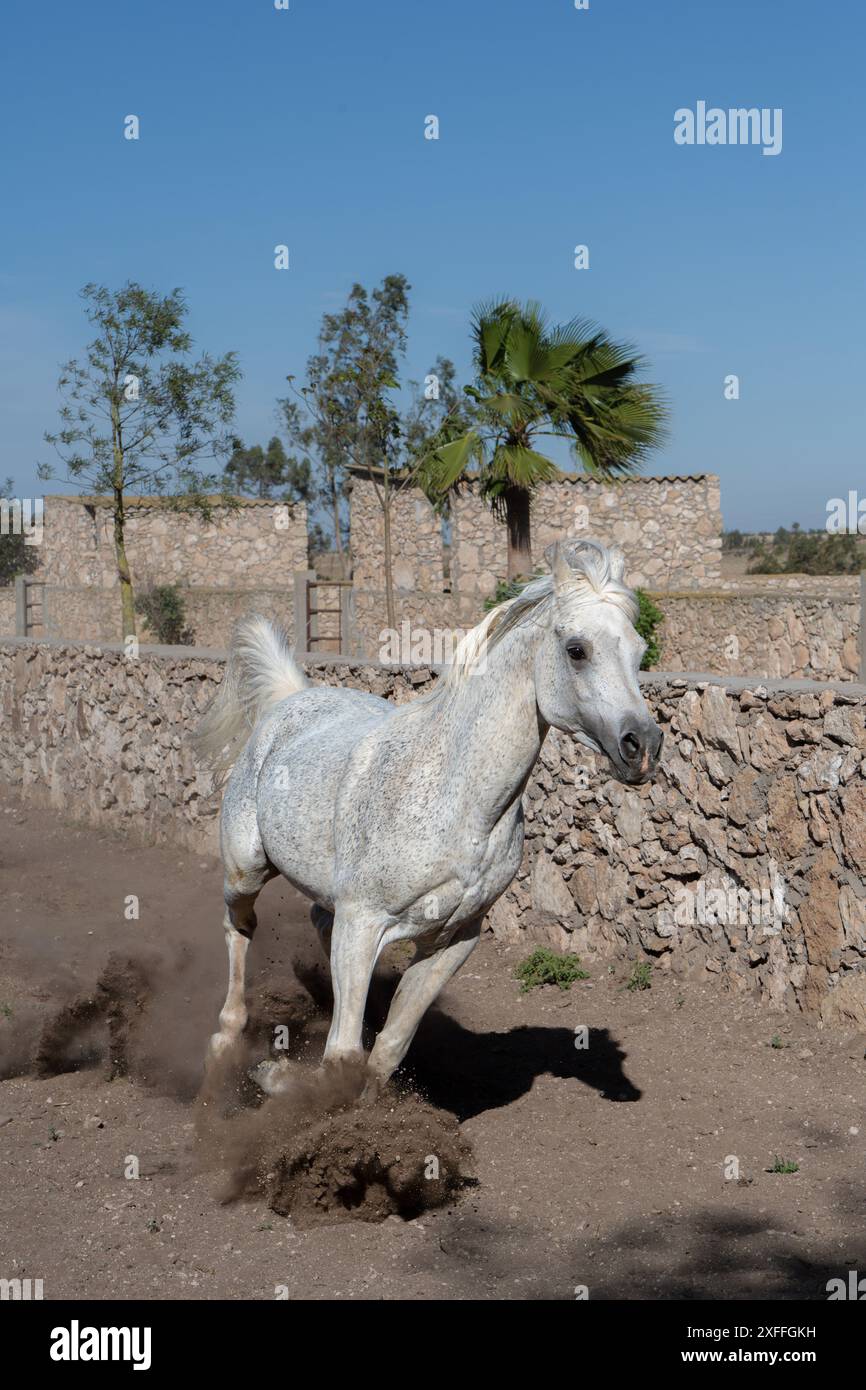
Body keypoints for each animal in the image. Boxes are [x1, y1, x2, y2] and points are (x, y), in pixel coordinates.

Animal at [193, 538, 663, 1101]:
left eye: (638, 650)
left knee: (319, 928)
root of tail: (290, 697)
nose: (643, 746)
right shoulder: (364, 920)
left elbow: (387, 1049)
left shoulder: (452, 940)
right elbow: (343, 1057)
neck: (458, 806)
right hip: (246, 869)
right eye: (577, 649)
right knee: (237, 927)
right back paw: (225, 1042)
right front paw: (289, 1089)